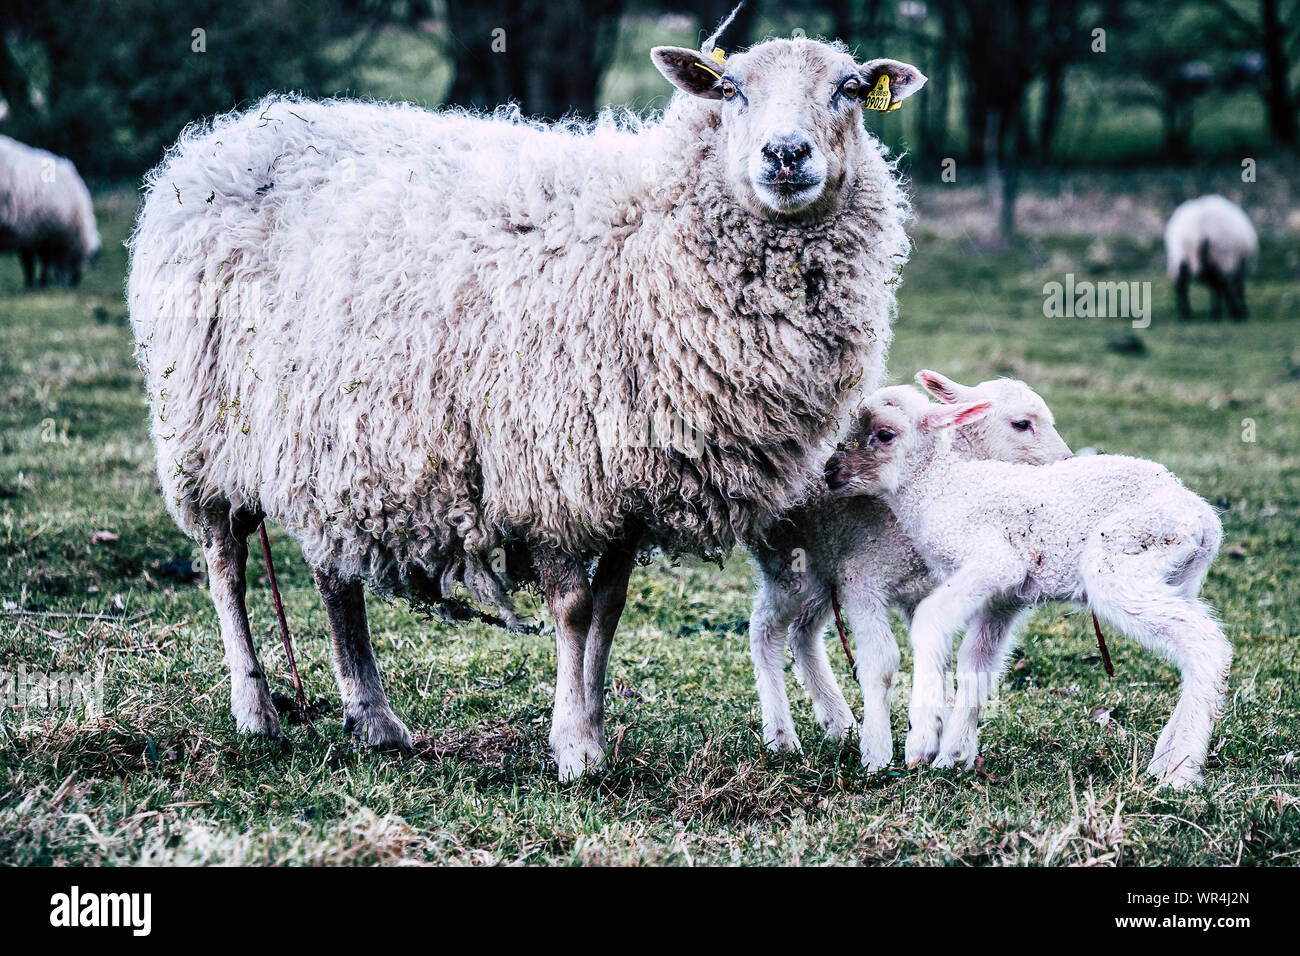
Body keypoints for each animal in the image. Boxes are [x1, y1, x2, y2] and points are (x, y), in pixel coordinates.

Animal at [0, 135, 101, 287]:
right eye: (83, 259)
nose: (75, 281)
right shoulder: (45, 233)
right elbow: (39, 263)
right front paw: (40, 282)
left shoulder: (29, 234)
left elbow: (30, 262)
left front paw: (31, 283)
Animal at [126, 22, 927, 779]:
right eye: (730, 89)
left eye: (851, 89)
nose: (785, 154)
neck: (648, 231)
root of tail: (224, 135)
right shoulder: (550, 468)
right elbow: (571, 611)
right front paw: (572, 745)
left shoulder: (624, 480)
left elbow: (609, 609)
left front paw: (594, 724)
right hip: (200, 427)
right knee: (226, 564)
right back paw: (256, 707)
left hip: (333, 439)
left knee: (333, 573)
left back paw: (372, 717)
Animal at [748, 371, 1071, 769]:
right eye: (1022, 424)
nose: (1068, 462)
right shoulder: (863, 579)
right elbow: (883, 662)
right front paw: (878, 753)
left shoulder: (919, 588)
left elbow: (938, 658)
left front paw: (933, 732)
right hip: (790, 564)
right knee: (764, 630)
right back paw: (781, 735)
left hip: (828, 568)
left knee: (801, 633)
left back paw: (839, 723)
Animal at [824, 385, 1229, 788]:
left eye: (884, 435)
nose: (829, 471)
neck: (938, 486)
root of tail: (1205, 520)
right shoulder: (1003, 598)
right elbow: (977, 662)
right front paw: (953, 757)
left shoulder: (994, 560)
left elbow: (930, 618)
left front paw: (923, 739)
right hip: (1174, 577)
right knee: (1198, 646)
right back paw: (1165, 761)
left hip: (1125, 557)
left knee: (1206, 644)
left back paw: (1181, 773)